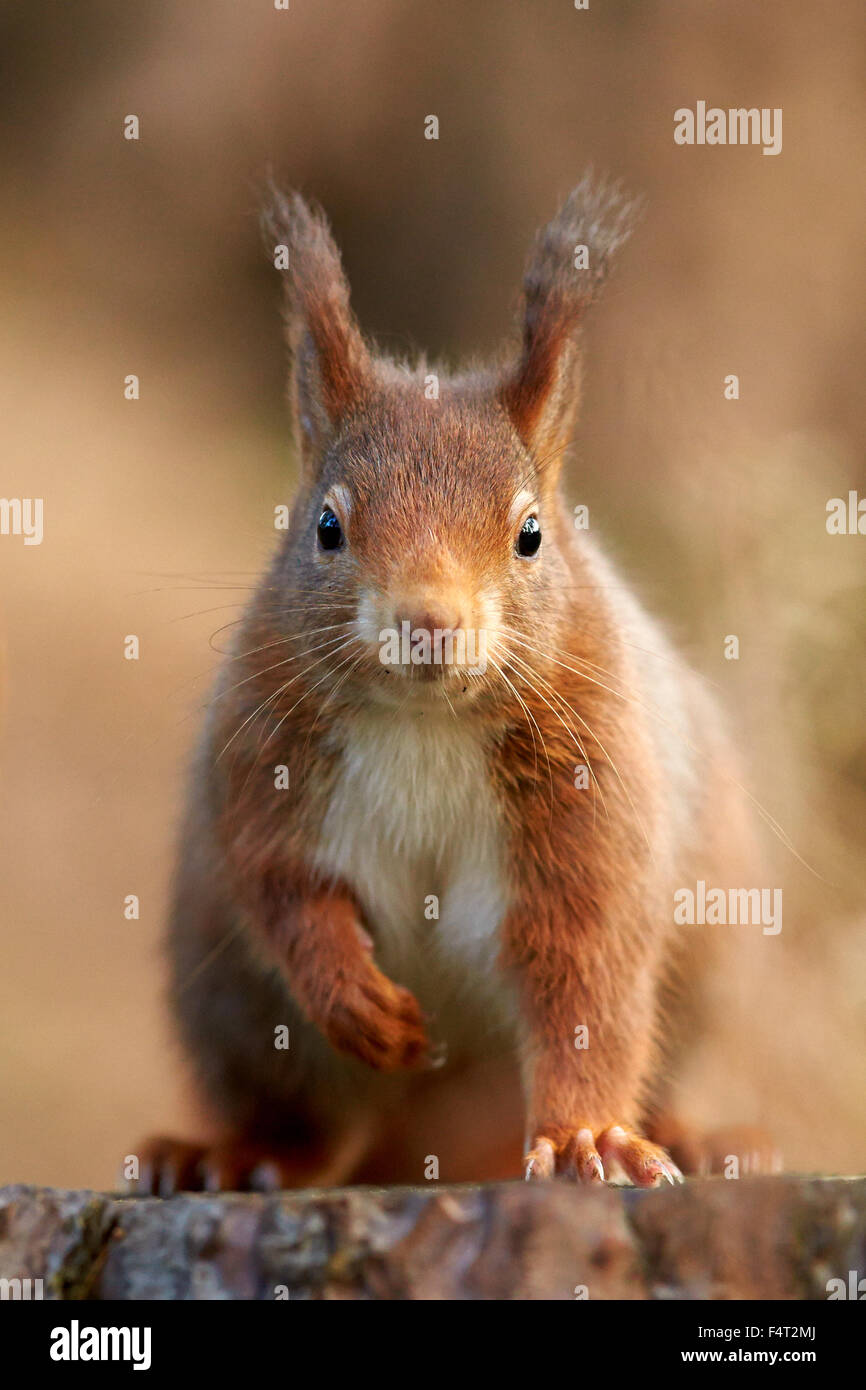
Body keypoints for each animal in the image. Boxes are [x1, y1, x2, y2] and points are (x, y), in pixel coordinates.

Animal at [135, 176, 770, 1194]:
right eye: (325, 526)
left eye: (531, 534)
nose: (428, 621)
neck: (424, 718)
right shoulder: (261, 759)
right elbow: (282, 890)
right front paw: (353, 997)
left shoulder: (591, 803)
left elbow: (584, 975)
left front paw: (589, 1140)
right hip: (233, 1008)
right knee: (299, 1126)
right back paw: (224, 1157)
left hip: (708, 972)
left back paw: (702, 1138)